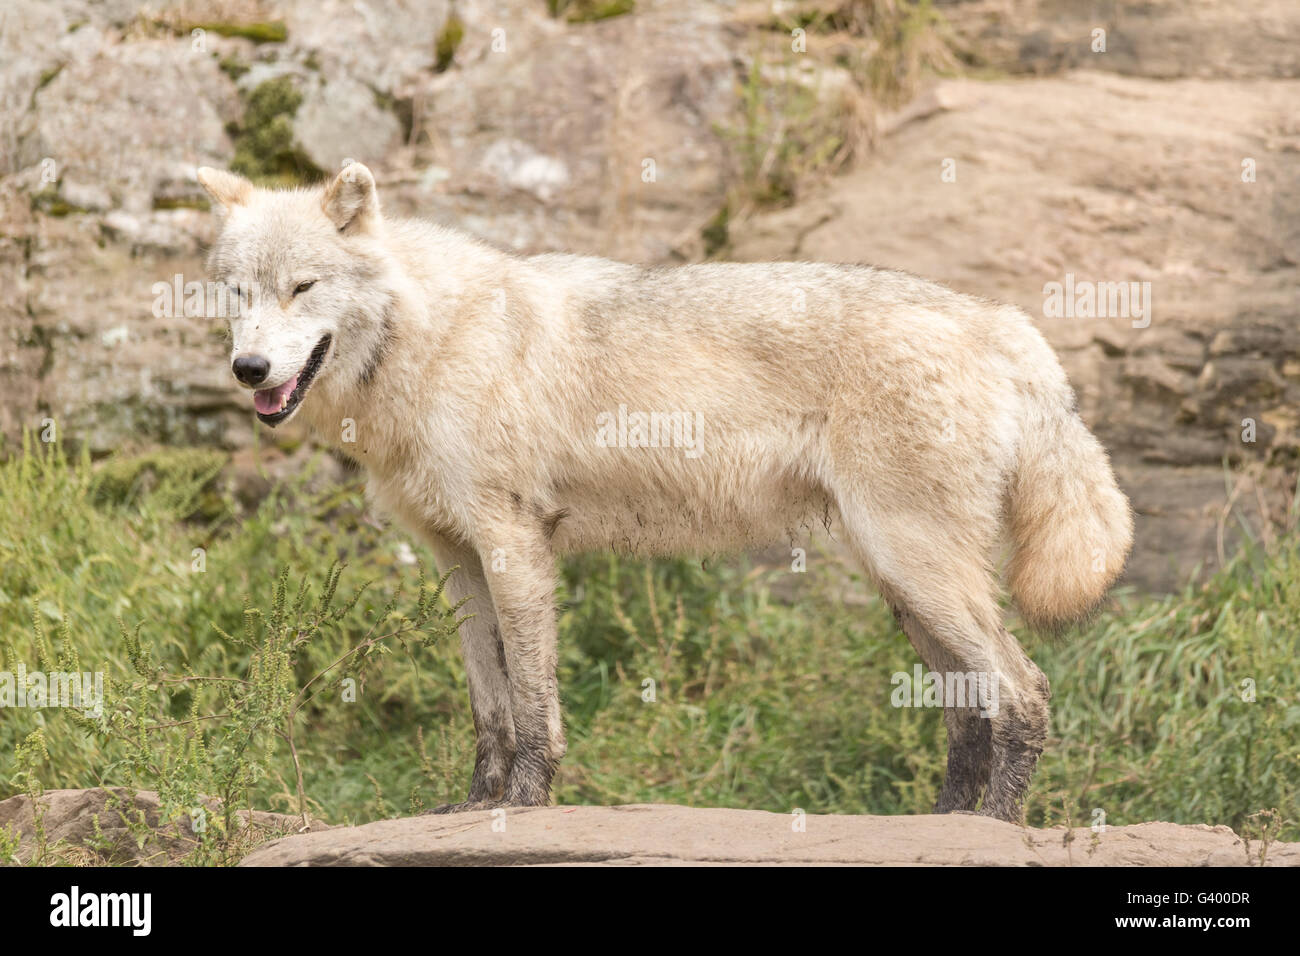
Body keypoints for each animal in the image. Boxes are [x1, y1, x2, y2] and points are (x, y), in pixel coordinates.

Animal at [196, 162, 1132, 821]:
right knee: (970, 716)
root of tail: (1003, 322)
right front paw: (473, 804)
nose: (250, 369)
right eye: (239, 293)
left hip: (919, 570)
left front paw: (523, 806)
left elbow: (531, 704)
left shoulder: (514, 546)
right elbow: (489, 708)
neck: (429, 341)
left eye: (303, 288)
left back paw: (997, 831)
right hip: (906, 586)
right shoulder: (458, 563)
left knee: (1024, 694)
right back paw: (942, 828)